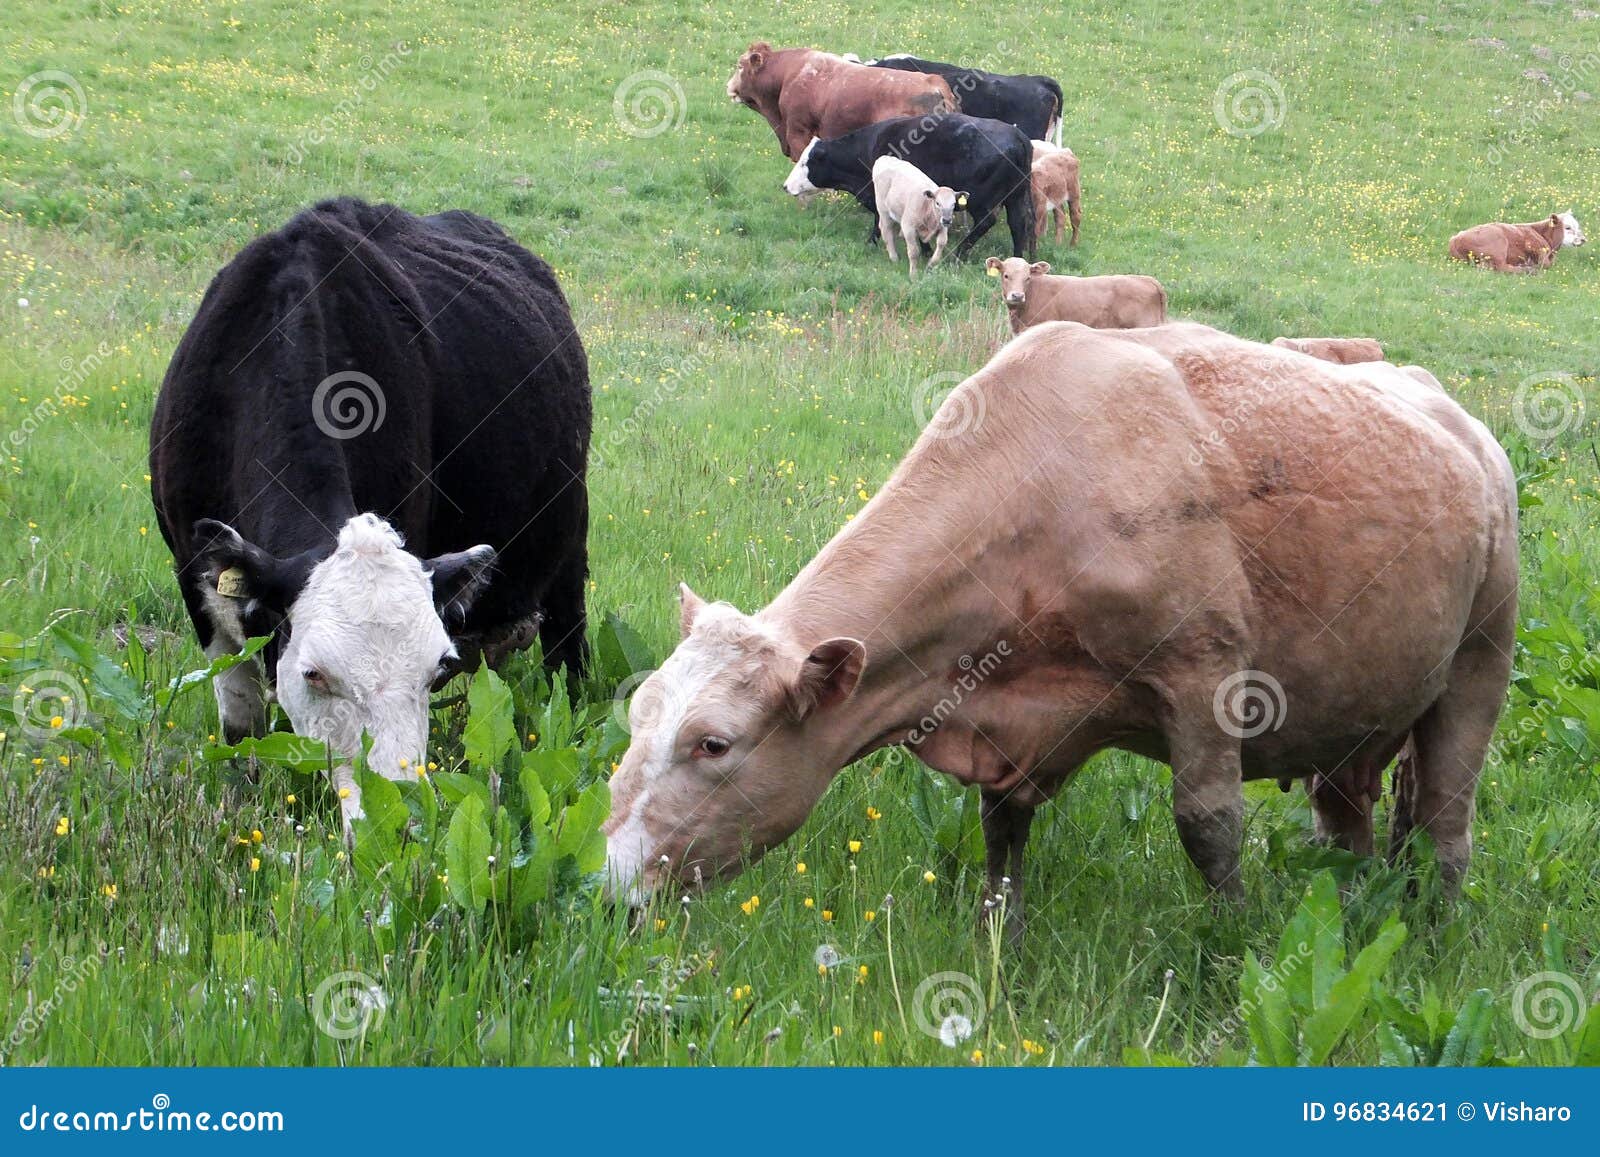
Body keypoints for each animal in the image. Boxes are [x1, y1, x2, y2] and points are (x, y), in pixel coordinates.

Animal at [151, 197, 591, 829]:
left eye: (436, 669)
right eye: (313, 672)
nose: (400, 814)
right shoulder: (196, 580)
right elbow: (240, 722)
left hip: (570, 536)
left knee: (568, 651)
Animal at [603, 322, 1517, 946]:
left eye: (714, 743)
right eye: (637, 716)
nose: (608, 885)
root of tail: (1466, 428)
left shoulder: (1205, 675)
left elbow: (1210, 828)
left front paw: (1230, 946)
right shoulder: (1011, 725)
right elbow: (1001, 834)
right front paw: (995, 944)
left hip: (1481, 660)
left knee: (1447, 825)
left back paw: (1435, 935)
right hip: (1356, 721)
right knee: (1352, 827)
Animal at [783, 114, 1036, 260]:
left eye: (805, 162)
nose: (785, 186)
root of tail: (1018, 136)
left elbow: (880, 222)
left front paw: (873, 244)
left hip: (981, 201)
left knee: (986, 222)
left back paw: (959, 254)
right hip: (1017, 197)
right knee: (1019, 224)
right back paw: (1020, 259)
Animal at [1447, 211, 1585, 272]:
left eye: (1578, 226)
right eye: (1567, 227)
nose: (1583, 239)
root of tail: (1455, 239)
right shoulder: (1536, 247)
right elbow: (1545, 264)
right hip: (1499, 247)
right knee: (1502, 267)